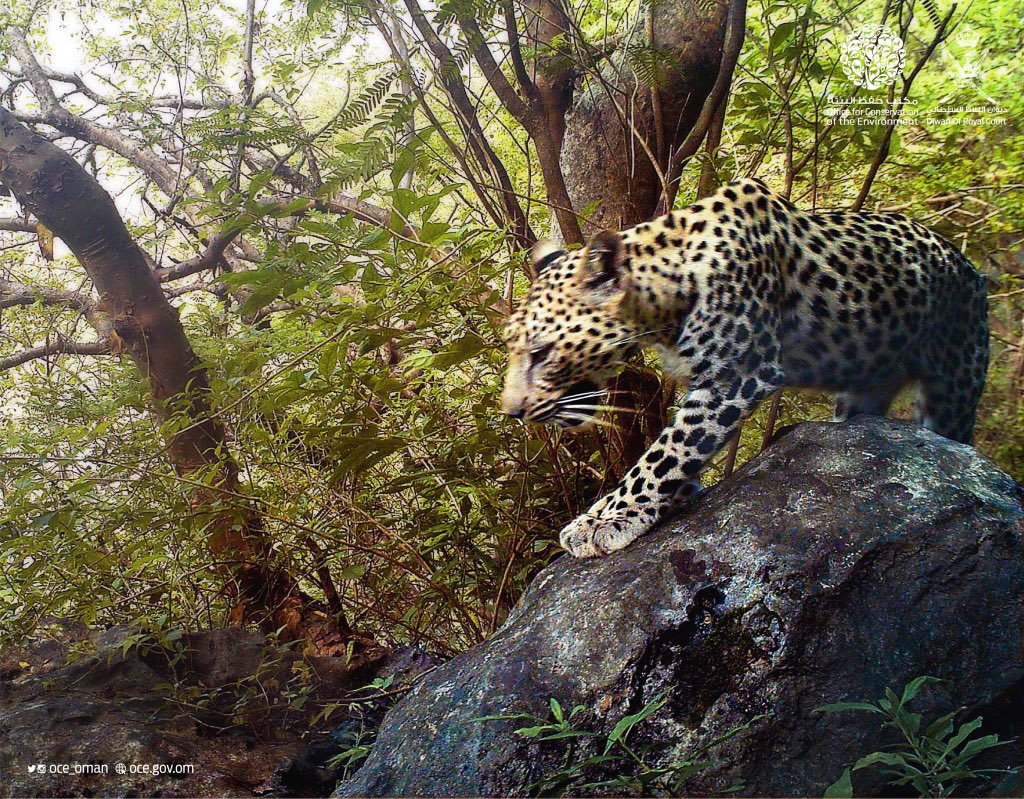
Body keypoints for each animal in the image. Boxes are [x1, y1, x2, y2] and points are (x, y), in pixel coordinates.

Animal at [501, 178, 990, 558]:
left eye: (541, 353)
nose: (512, 413)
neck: (662, 299)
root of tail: (973, 268)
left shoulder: (734, 375)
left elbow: (666, 451)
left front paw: (607, 518)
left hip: (954, 383)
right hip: (863, 387)